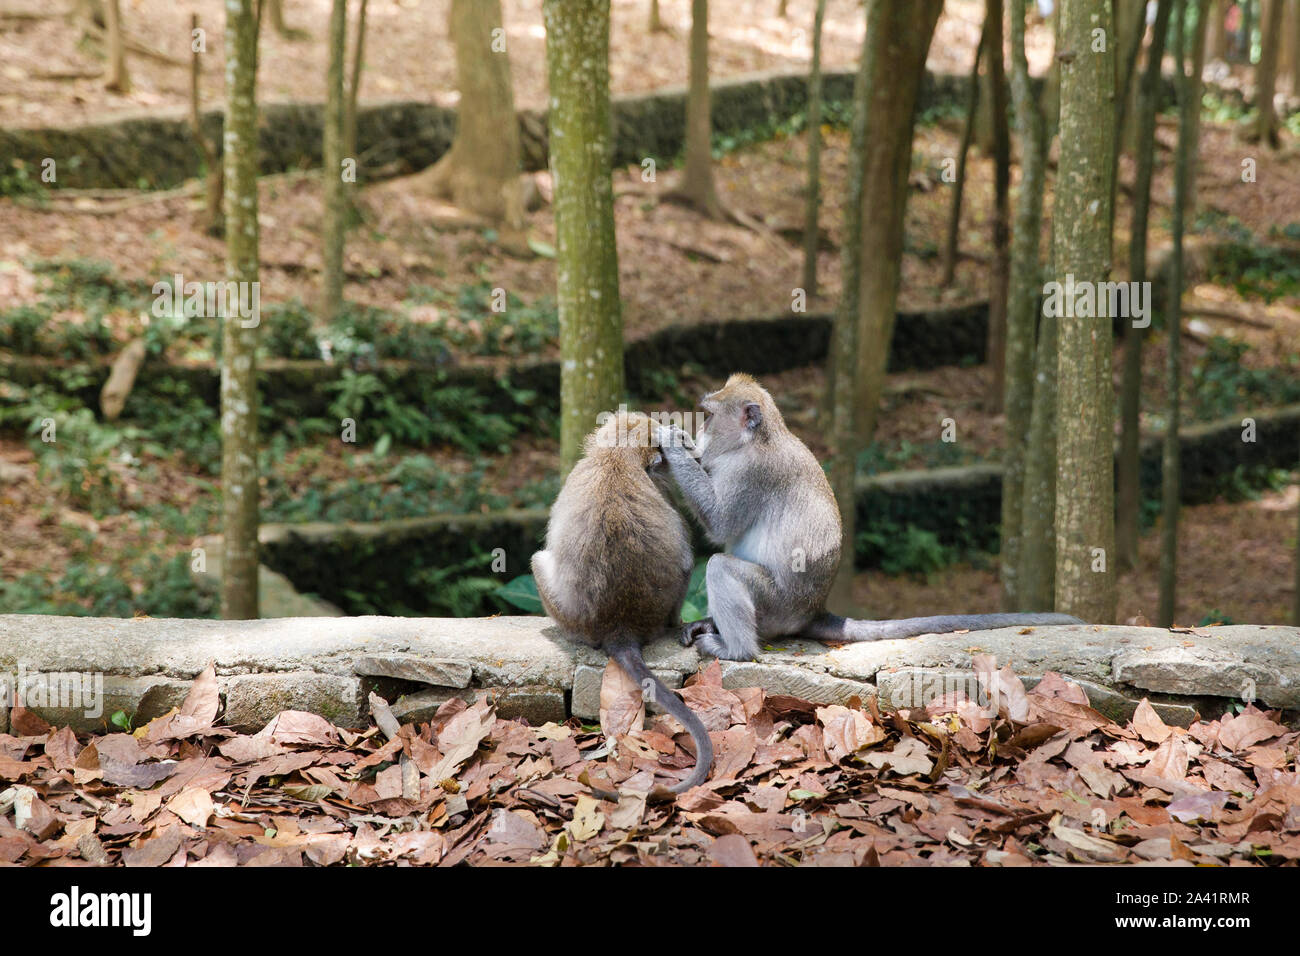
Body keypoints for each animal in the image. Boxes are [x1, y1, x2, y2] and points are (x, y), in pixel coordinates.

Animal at [655, 374, 1083, 662]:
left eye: (709, 418)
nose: (699, 435)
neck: (755, 440)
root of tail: (813, 610)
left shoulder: (751, 472)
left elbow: (719, 524)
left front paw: (669, 439)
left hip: (776, 605)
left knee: (722, 567)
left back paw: (735, 650)